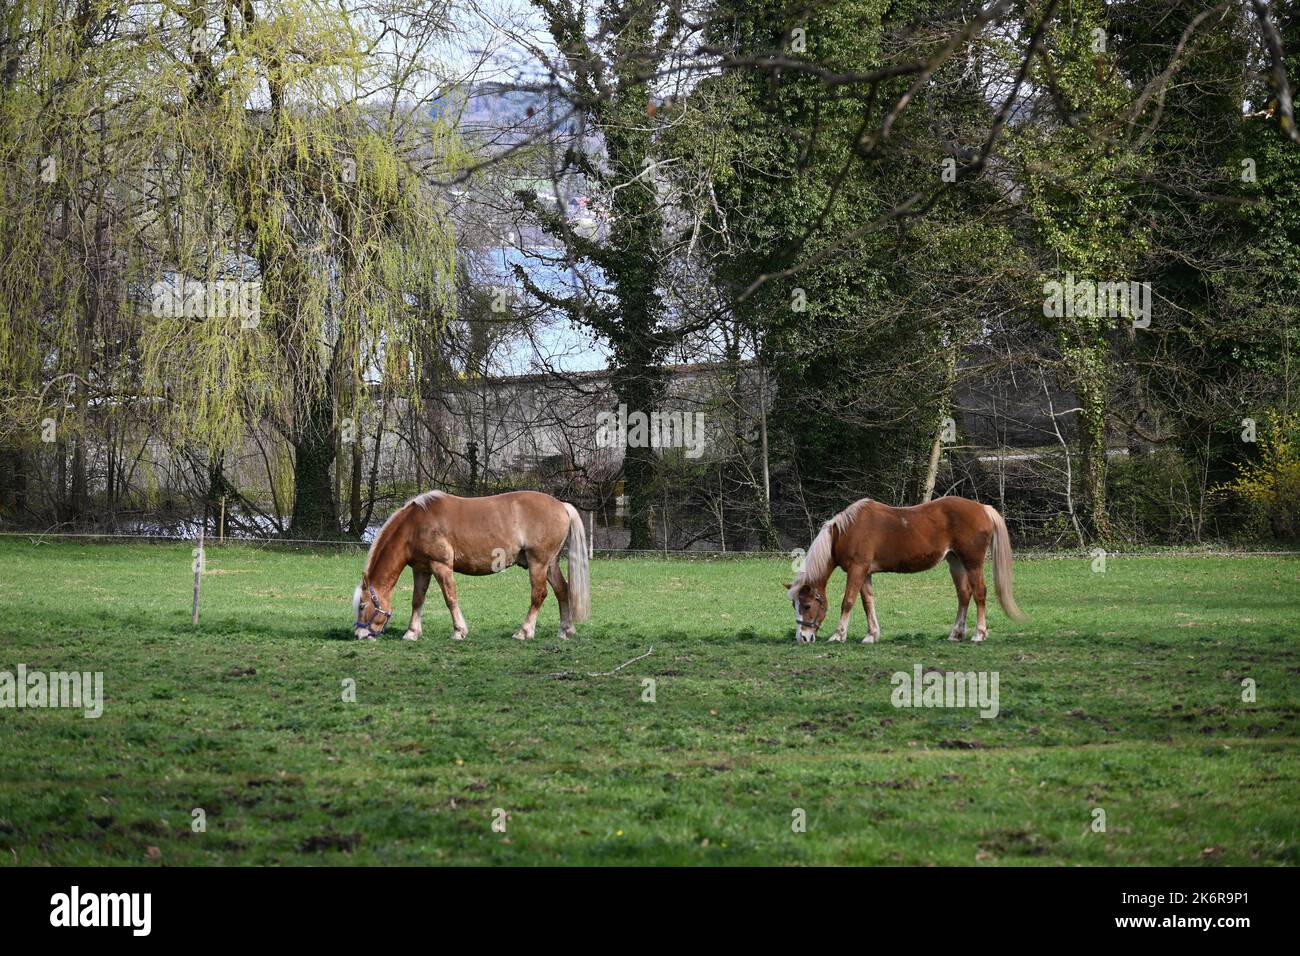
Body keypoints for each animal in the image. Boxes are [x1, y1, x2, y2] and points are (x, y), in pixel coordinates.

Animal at [351, 490, 590, 642]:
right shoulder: (421, 569)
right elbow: (417, 600)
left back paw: (524, 632)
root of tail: (562, 506)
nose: (359, 635)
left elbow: (450, 598)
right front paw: (412, 633)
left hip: (538, 563)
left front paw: (459, 631)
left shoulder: (441, 566)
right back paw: (565, 630)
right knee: (562, 591)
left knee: (539, 594)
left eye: (362, 606)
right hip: (550, 564)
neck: (414, 526)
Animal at [786, 496, 1024, 644]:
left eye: (807, 605)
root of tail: (983, 508)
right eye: (794, 605)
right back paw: (956, 634)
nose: (802, 637)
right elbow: (867, 603)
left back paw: (979, 634)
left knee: (980, 594)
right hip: (955, 562)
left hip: (973, 563)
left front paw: (838, 635)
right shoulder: (865, 573)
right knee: (964, 596)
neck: (846, 531)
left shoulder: (857, 569)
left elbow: (848, 601)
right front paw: (872, 635)